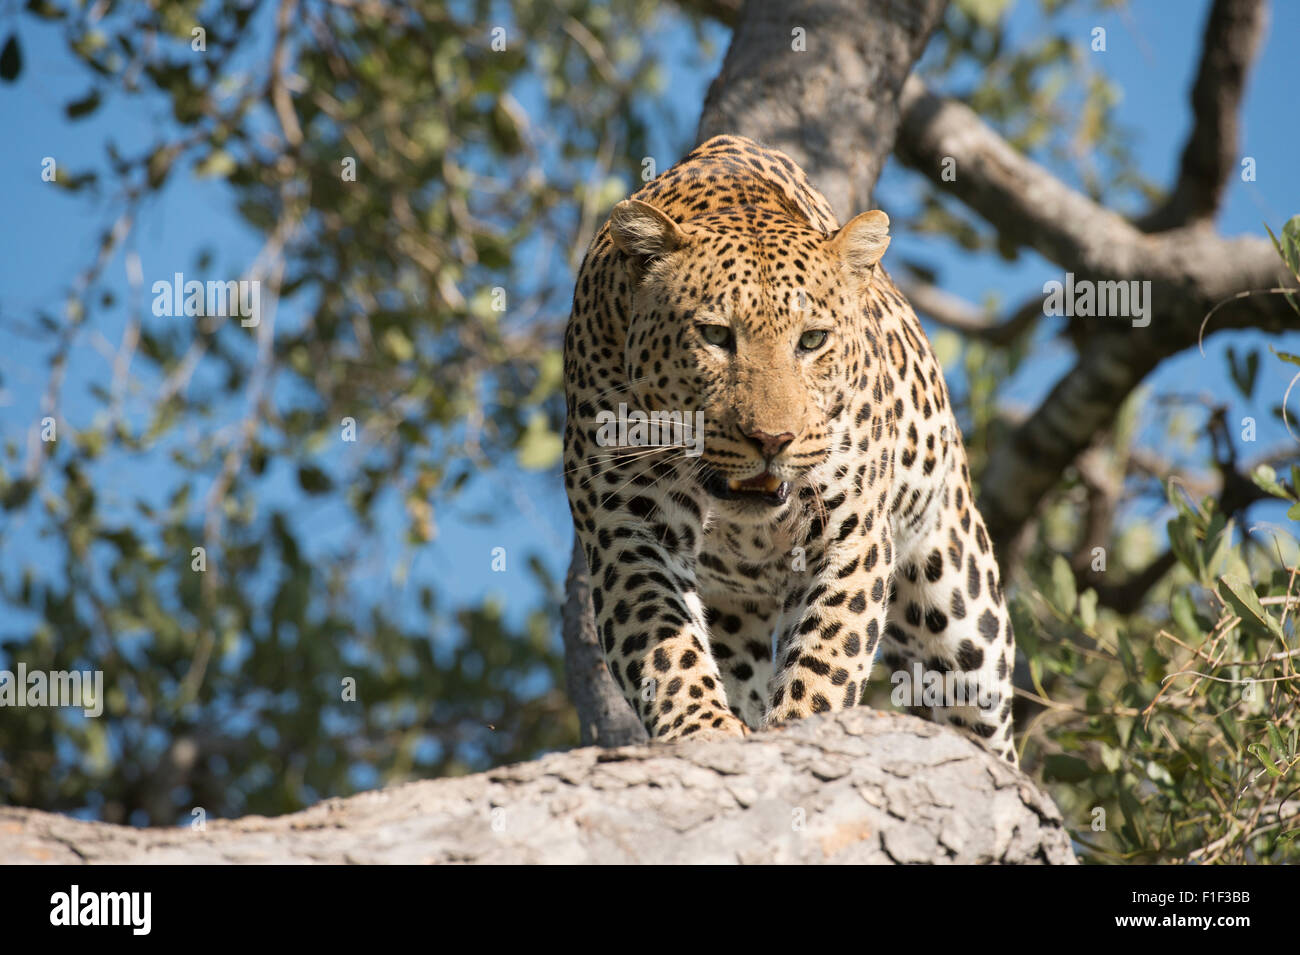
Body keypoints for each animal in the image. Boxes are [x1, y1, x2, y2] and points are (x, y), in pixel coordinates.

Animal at [562, 134, 1018, 765]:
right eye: (714, 335)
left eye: (812, 340)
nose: (772, 440)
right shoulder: (628, 528)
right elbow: (665, 648)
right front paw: (704, 730)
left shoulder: (849, 535)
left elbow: (827, 656)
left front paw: (803, 728)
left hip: (959, 601)